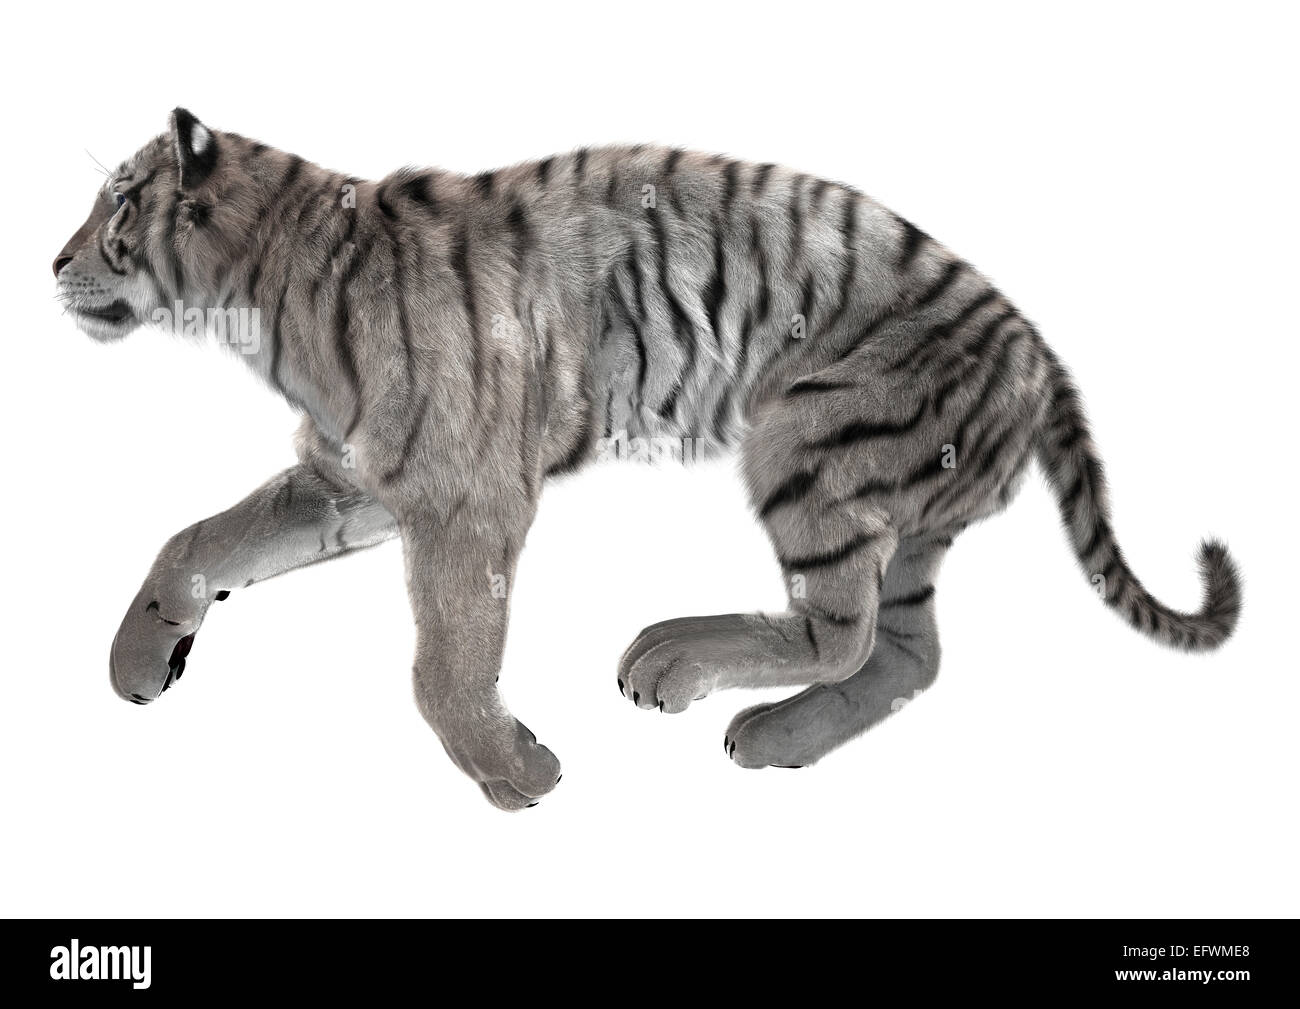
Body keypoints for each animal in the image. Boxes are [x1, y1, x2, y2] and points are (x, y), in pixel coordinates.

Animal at [54, 109, 1241, 810]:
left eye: (119, 201)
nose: (52, 263)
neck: (257, 294)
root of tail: (1035, 344)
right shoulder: (349, 483)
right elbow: (193, 543)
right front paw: (137, 663)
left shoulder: (466, 502)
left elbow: (444, 664)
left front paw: (515, 770)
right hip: (902, 505)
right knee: (905, 655)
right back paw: (779, 738)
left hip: (805, 443)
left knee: (840, 633)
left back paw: (676, 664)